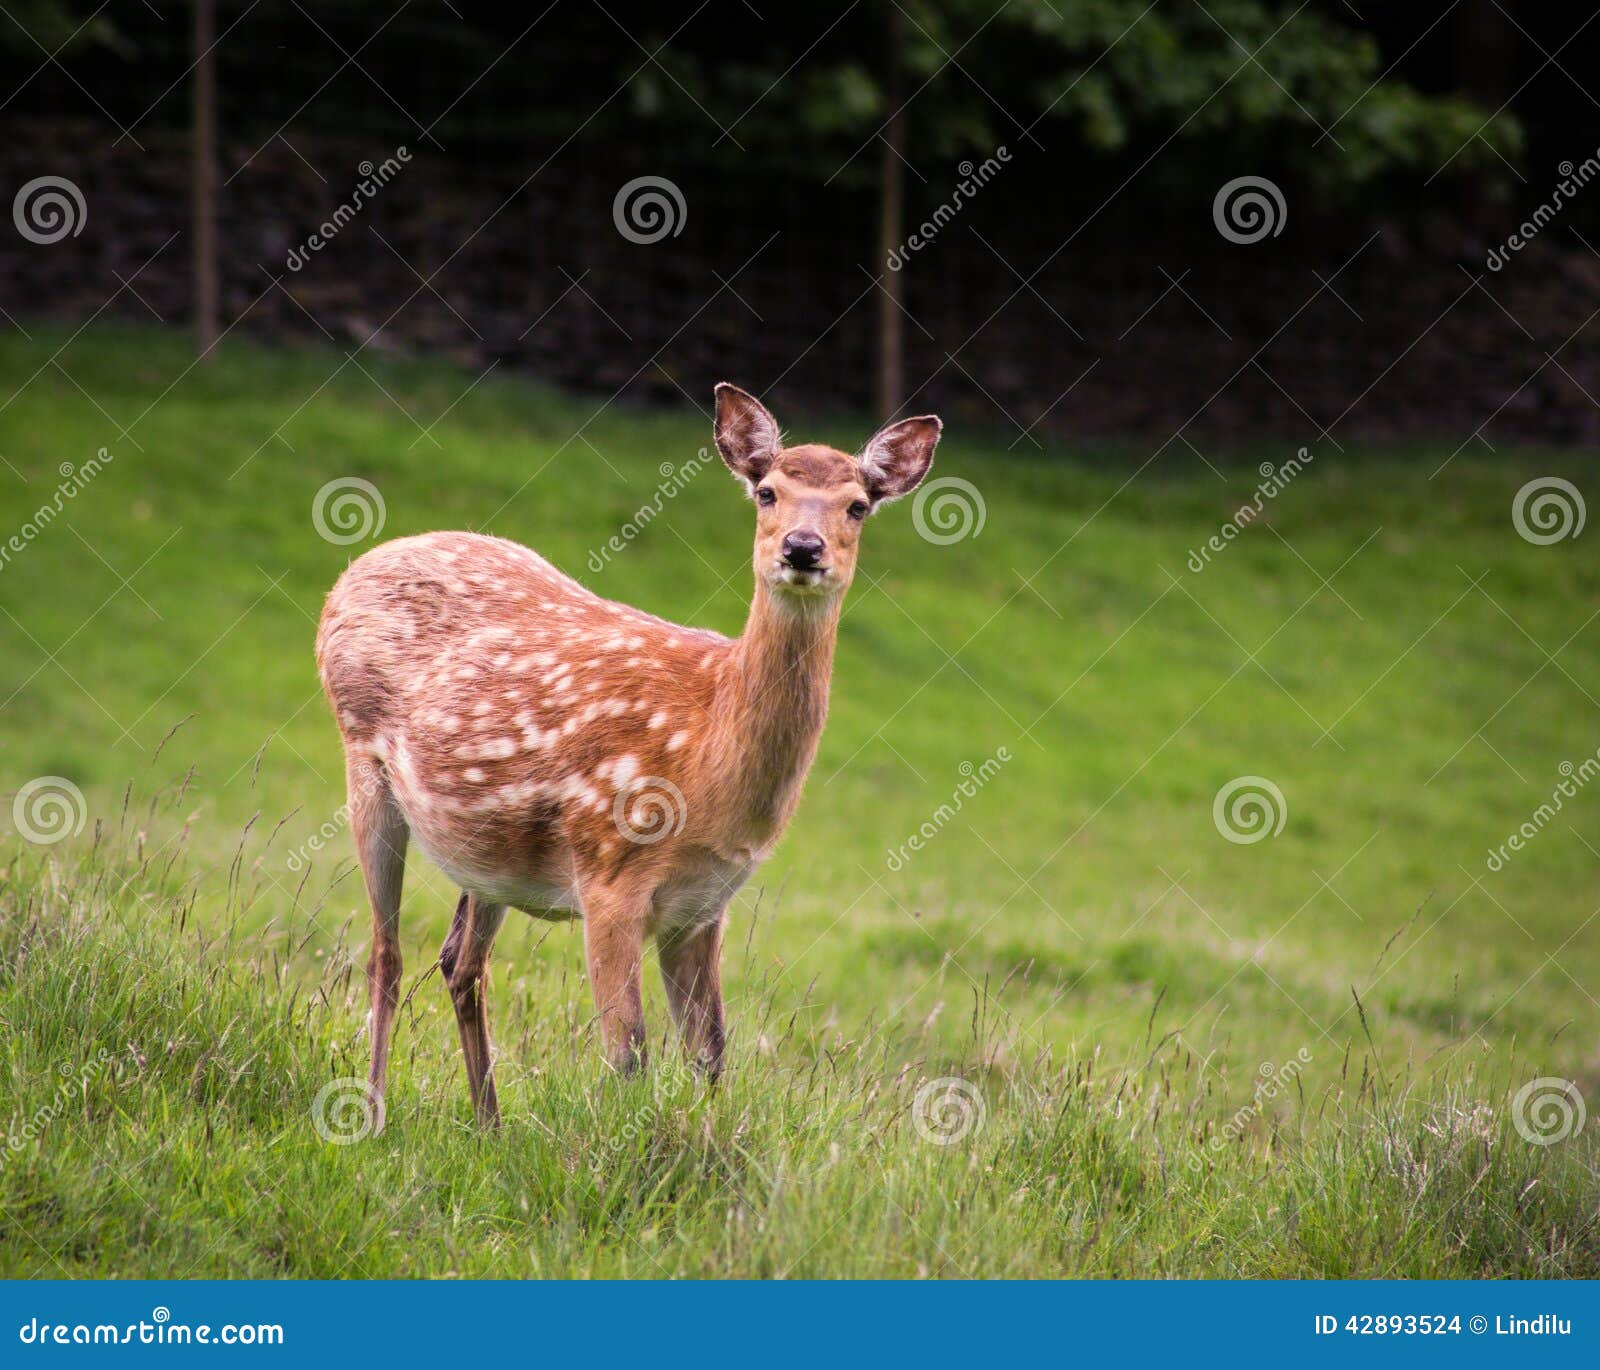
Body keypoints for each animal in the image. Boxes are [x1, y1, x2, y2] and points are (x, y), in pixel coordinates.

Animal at [315, 383, 941, 1126]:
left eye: (858, 504)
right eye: (767, 492)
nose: (802, 547)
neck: (707, 759)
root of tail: (352, 572)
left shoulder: (705, 905)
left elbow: (711, 1055)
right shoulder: (608, 873)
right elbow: (629, 1056)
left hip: (486, 851)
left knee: (459, 963)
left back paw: (488, 1124)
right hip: (362, 755)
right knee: (385, 953)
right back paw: (372, 1114)